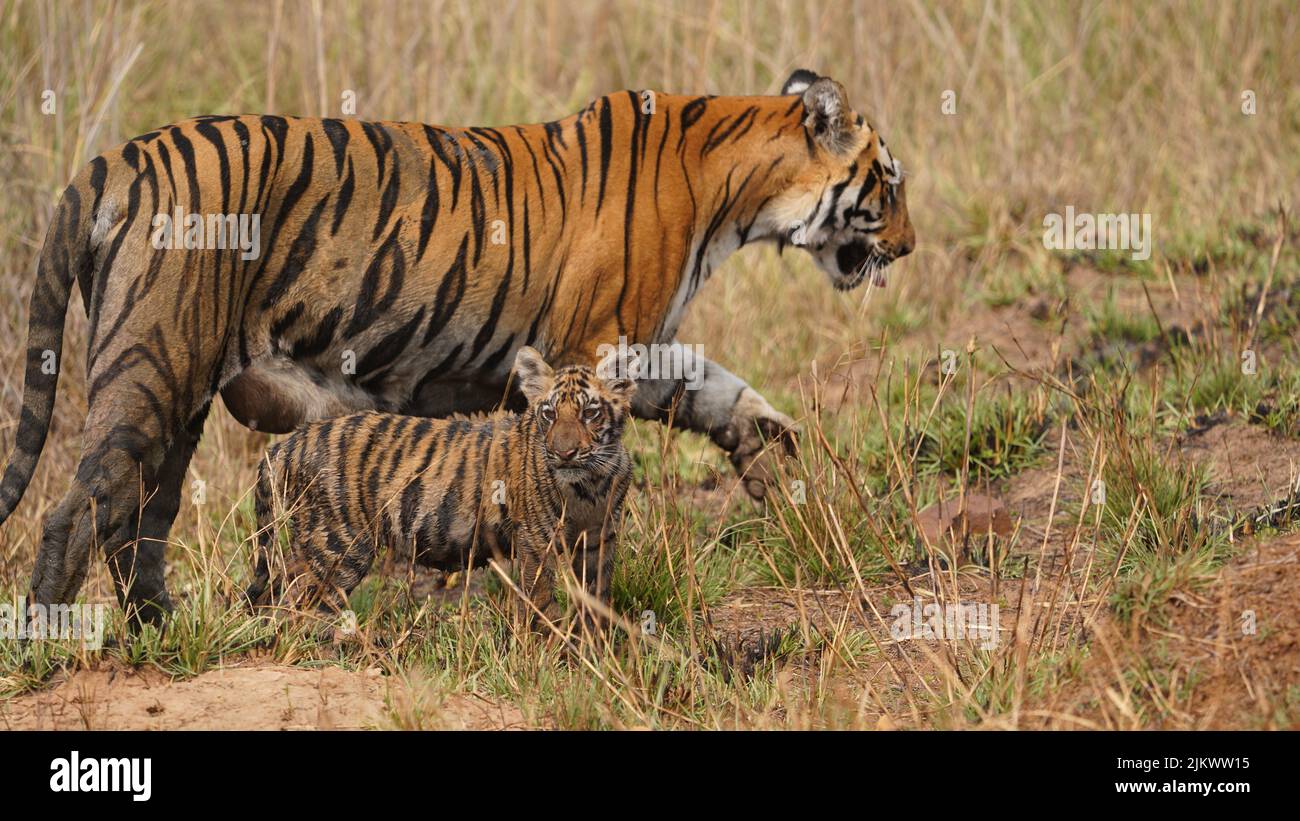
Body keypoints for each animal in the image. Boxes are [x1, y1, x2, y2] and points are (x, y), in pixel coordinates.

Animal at [244, 346, 634, 633]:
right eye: (550, 414)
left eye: (590, 413)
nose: (563, 453)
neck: (590, 483)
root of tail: (290, 441)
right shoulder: (536, 541)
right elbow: (540, 602)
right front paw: (548, 653)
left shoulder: (600, 538)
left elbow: (598, 595)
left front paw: (596, 647)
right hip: (338, 544)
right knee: (302, 602)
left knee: (281, 584)